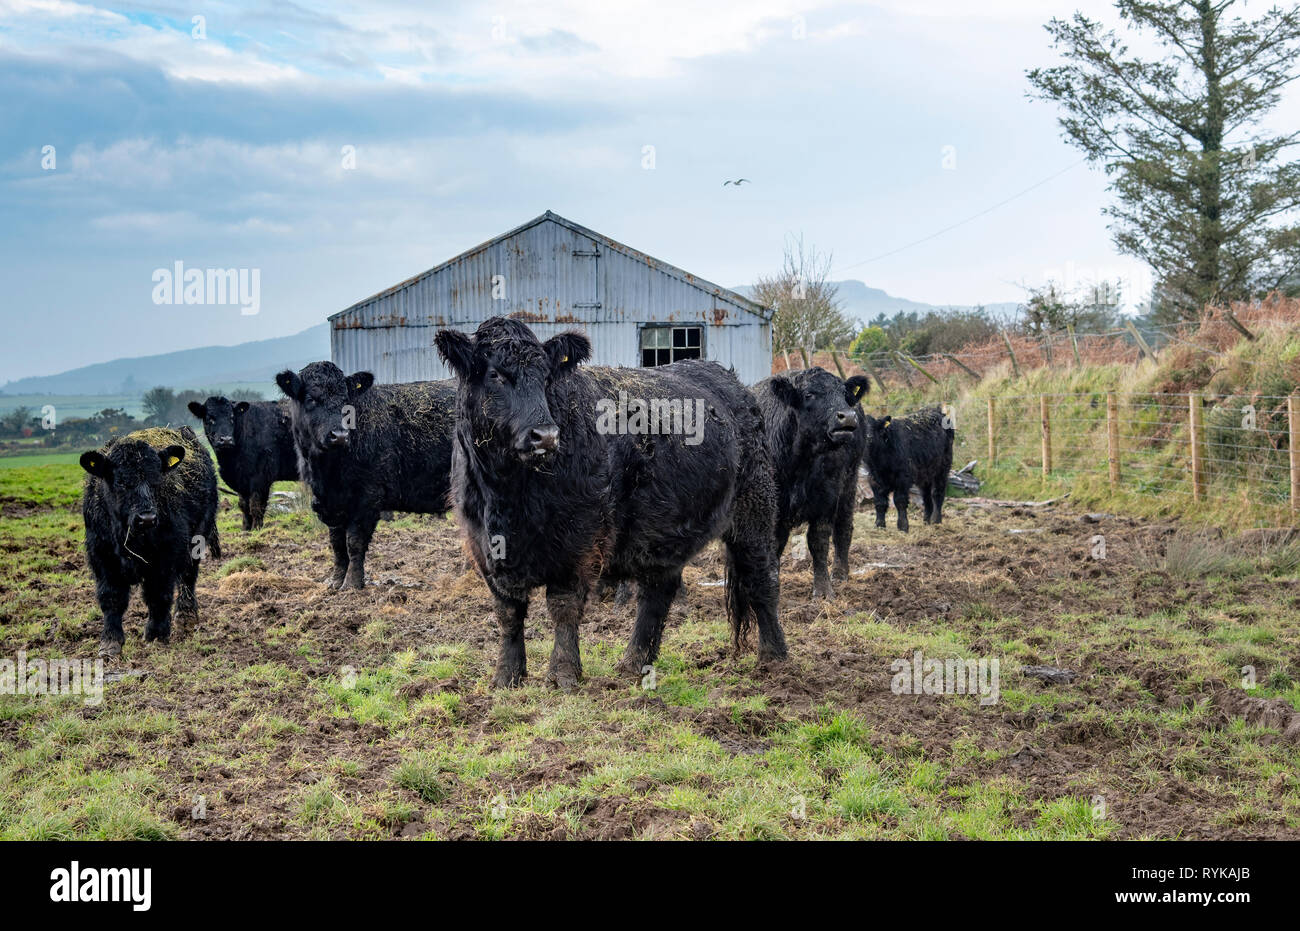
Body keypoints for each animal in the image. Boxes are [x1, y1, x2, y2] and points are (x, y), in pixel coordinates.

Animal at [80, 426, 219, 656]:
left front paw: (156, 634)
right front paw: (110, 641)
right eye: (121, 482)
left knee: (188, 578)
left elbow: (158, 594)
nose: (147, 518)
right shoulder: (101, 555)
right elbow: (111, 598)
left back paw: (186, 617)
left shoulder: (167, 554)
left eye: (157, 481)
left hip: (198, 538)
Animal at [187, 396, 298, 530]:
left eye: (231, 417)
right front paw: (245, 528)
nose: (226, 440)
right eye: (210, 418)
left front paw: (256, 528)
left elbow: (256, 505)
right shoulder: (241, 482)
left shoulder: (260, 478)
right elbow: (244, 506)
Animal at [275, 362, 455, 590]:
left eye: (346, 400)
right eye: (311, 399)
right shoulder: (330, 504)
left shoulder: (368, 498)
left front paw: (352, 584)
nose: (339, 435)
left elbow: (354, 542)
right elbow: (337, 544)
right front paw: (336, 581)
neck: (328, 474)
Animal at [434, 316, 788, 690]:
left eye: (545, 376)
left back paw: (775, 659)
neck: (506, 493)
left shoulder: (578, 540)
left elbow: (563, 607)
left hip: (755, 508)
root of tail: (726, 378)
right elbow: (508, 613)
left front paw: (563, 674)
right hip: (665, 533)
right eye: (495, 375)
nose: (546, 435)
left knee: (762, 577)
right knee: (657, 594)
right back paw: (633, 664)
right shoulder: (483, 546)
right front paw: (506, 676)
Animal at [754, 367, 869, 599]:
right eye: (809, 395)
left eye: (844, 394)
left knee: (844, 528)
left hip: (849, 484)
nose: (847, 416)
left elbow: (819, 541)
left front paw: (823, 590)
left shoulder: (827, 498)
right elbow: (775, 544)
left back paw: (840, 573)